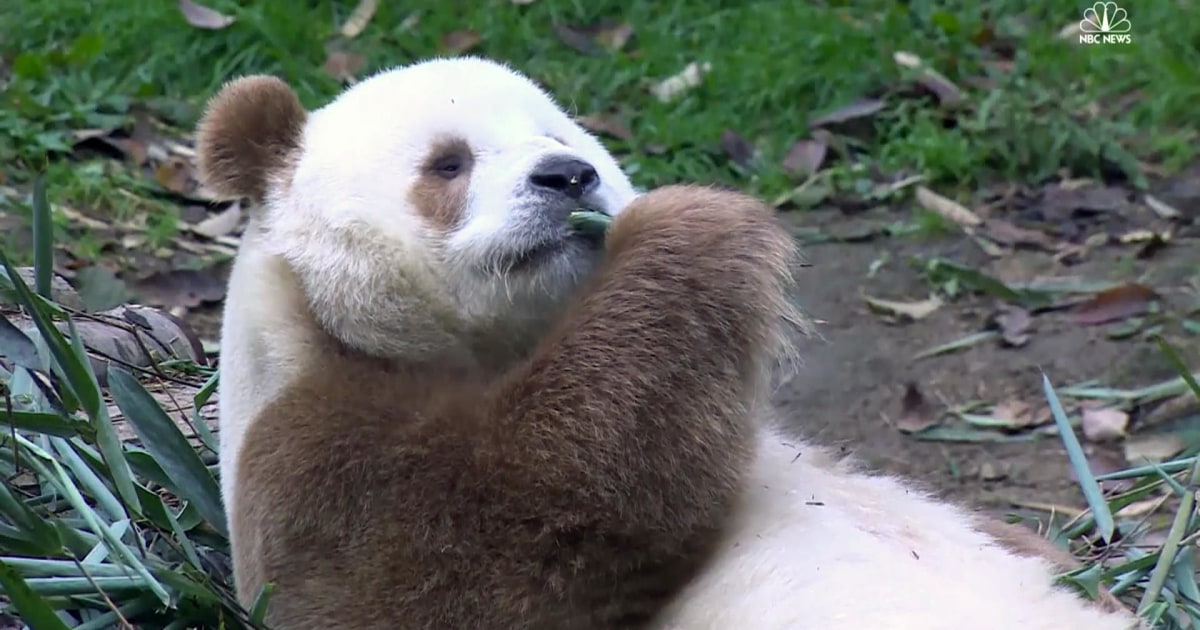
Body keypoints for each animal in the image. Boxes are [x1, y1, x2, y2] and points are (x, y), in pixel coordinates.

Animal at [196, 56, 1141, 629]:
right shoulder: (309, 453)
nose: (568, 178)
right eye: (448, 162)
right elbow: (486, 545)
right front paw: (699, 230)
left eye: (562, 137)